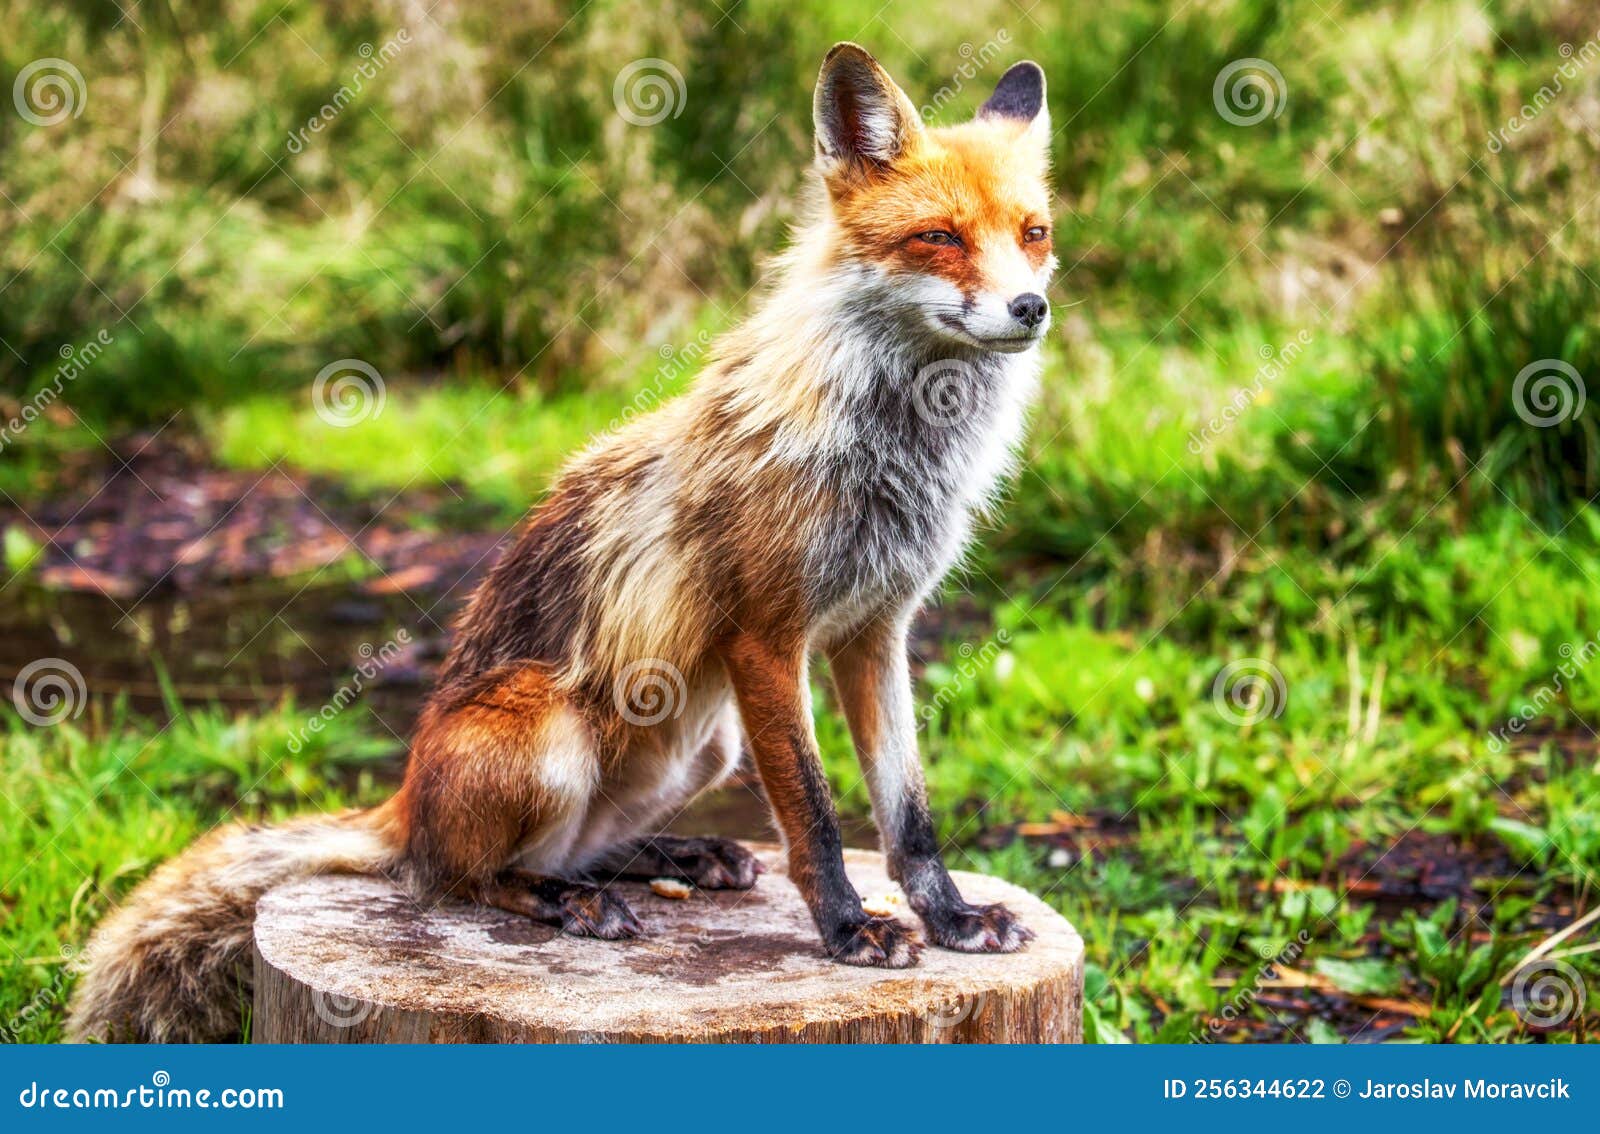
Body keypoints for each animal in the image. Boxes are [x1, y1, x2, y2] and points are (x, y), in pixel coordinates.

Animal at [67, 43, 1057, 1042]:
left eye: (1034, 233)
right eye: (939, 237)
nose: (1030, 307)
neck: (894, 450)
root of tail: (403, 805)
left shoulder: (875, 632)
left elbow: (909, 815)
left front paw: (951, 917)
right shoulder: (765, 636)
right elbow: (814, 819)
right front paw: (850, 931)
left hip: (704, 744)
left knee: (578, 849)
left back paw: (675, 858)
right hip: (555, 735)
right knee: (460, 880)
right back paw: (561, 901)